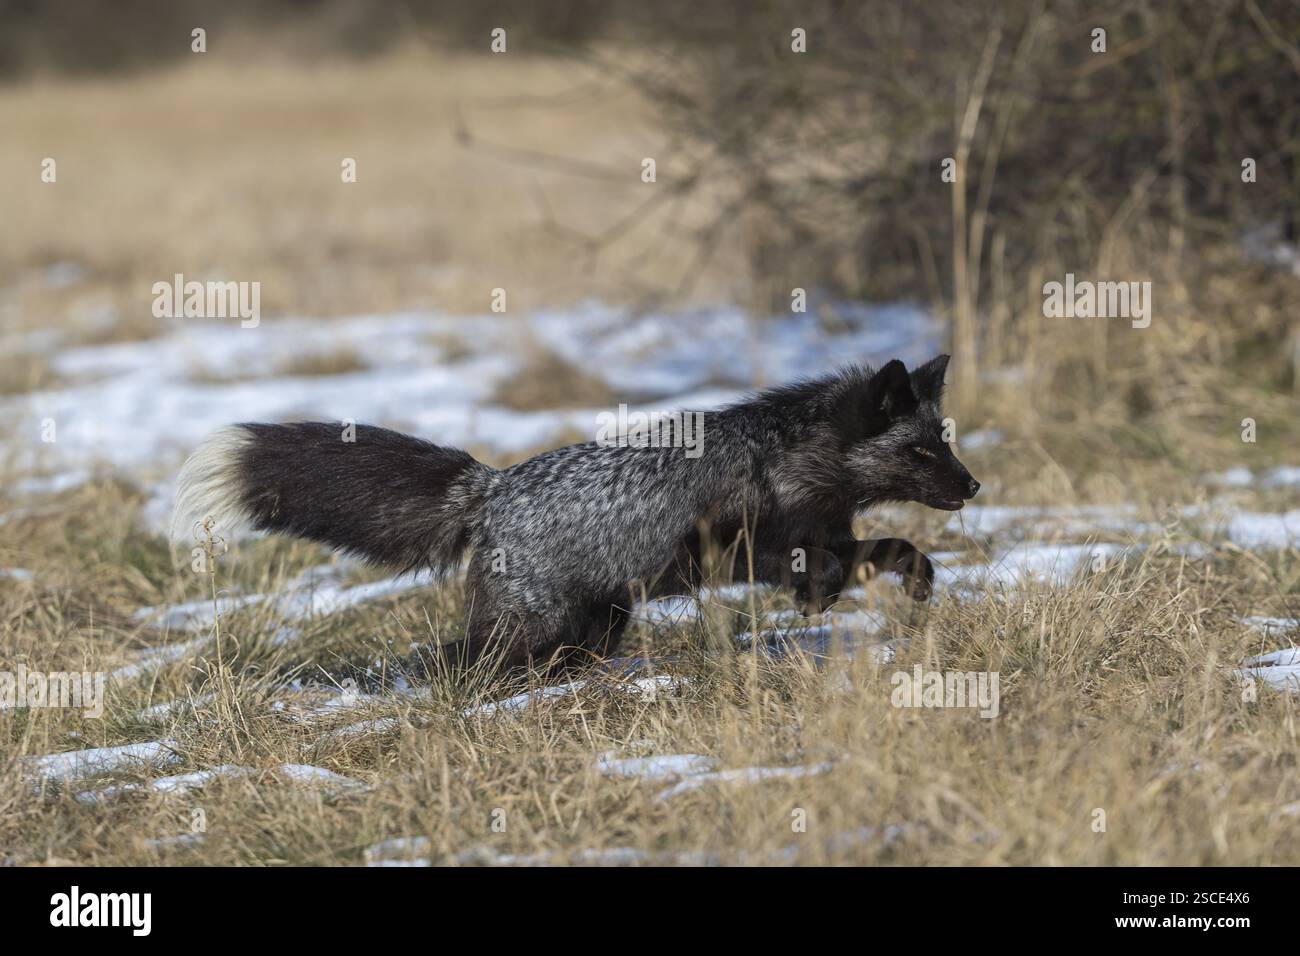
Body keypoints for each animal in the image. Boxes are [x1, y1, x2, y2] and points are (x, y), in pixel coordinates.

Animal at [174, 354, 979, 673]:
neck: (790, 458)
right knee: (454, 661)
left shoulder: (826, 544)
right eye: (920, 452)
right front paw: (869, 593)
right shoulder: (771, 554)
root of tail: (489, 486)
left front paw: (919, 584)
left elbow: (890, 548)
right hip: (533, 627)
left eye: (943, 440)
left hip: (598, 623)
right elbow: (850, 560)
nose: (972, 487)